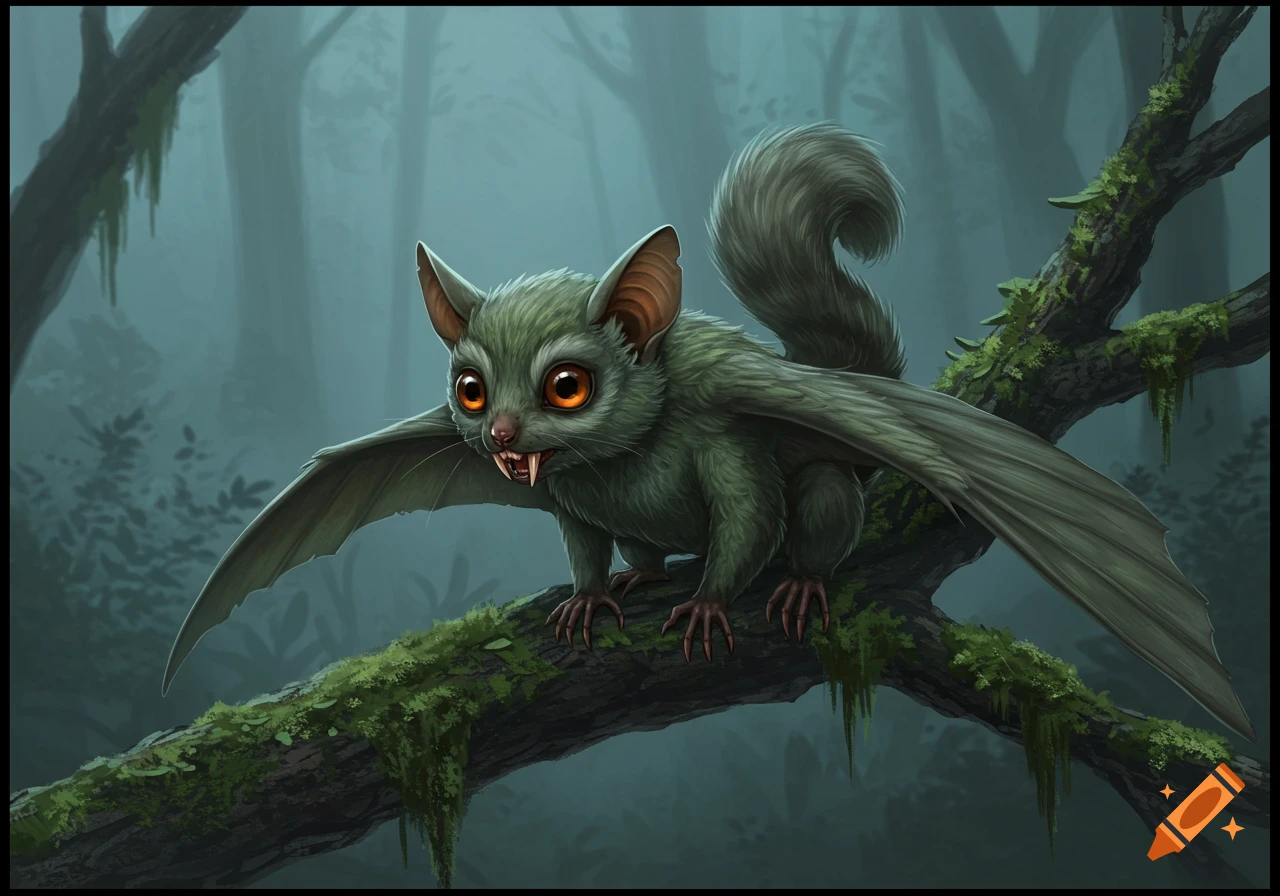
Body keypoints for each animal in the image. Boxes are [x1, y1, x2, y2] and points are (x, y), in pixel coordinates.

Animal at [164, 123, 1254, 743]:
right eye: (468, 392)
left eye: (567, 385)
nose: (505, 436)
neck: (612, 455)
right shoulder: (567, 499)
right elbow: (578, 540)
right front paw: (589, 595)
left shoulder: (728, 429)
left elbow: (745, 519)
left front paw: (710, 604)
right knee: (648, 546)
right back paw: (642, 576)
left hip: (827, 471)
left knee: (817, 504)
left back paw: (797, 580)